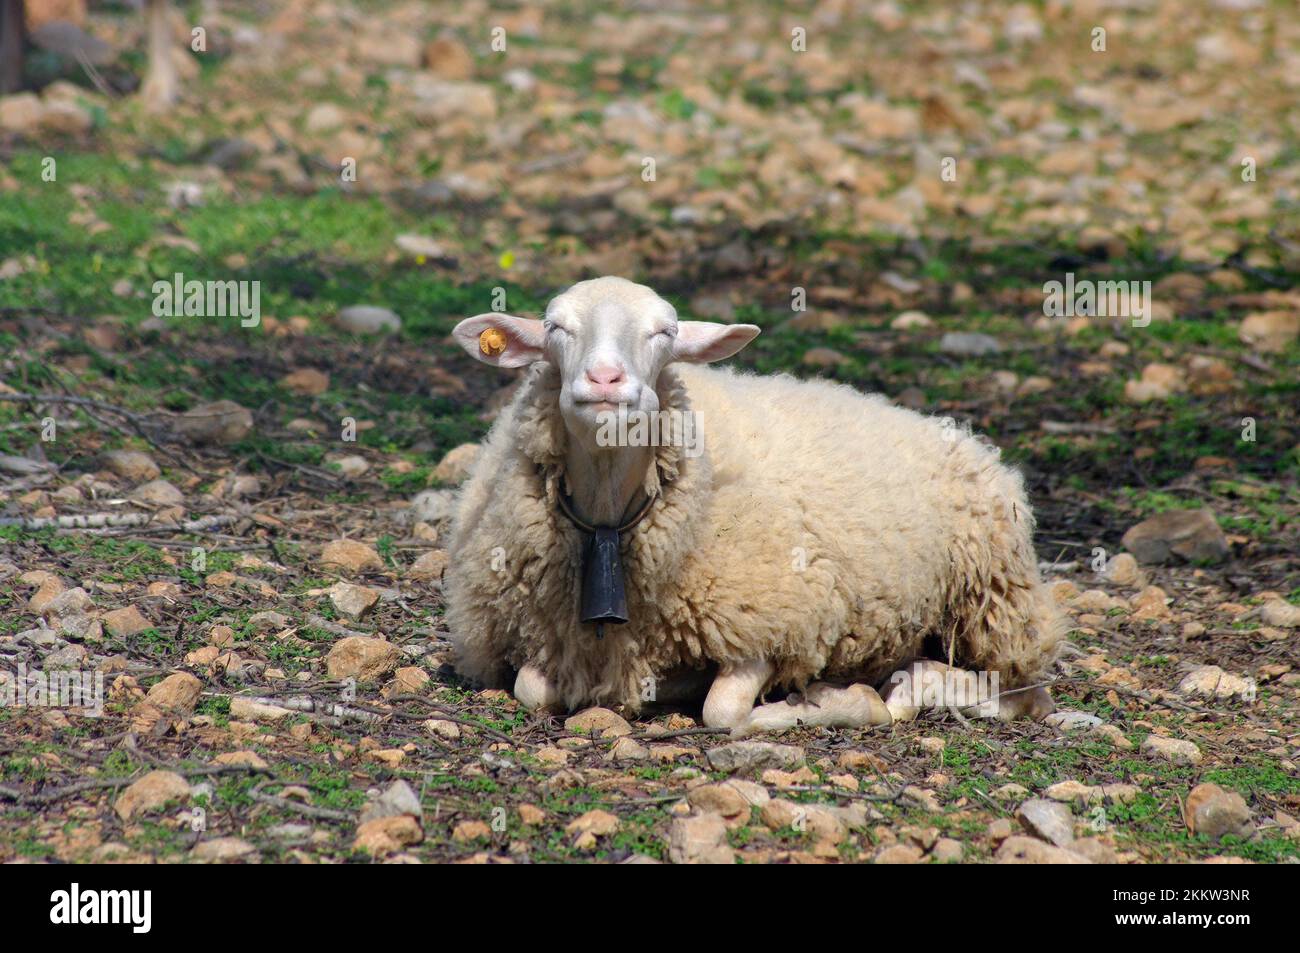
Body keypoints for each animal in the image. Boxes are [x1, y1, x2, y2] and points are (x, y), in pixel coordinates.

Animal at [443, 276, 1064, 734]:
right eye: (555, 327)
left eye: (665, 332)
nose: (604, 380)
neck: (608, 522)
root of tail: (963, 436)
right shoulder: (531, 631)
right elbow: (531, 687)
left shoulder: (776, 621)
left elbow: (723, 713)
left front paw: (825, 702)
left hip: (995, 601)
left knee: (1022, 692)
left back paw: (910, 685)